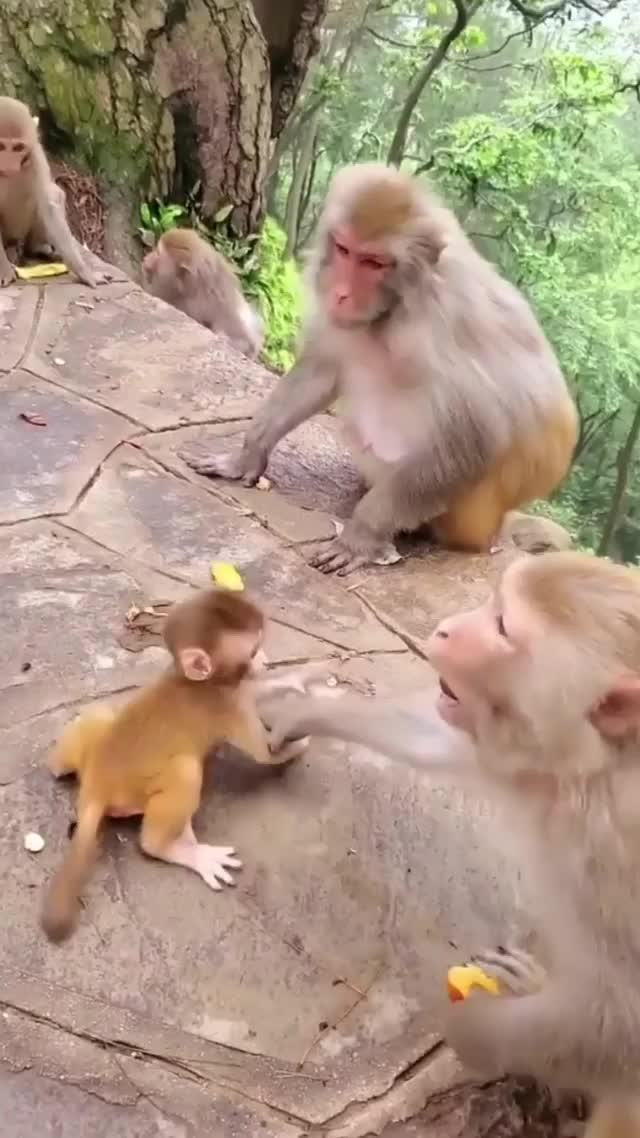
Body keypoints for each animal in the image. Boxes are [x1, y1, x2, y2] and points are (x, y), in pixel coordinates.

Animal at [0, 96, 105, 289]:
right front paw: (3, 270)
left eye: (18, 148)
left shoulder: (35, 155)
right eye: (1, 146)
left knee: (52, 196)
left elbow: (48, 204)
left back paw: (37, 248)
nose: (9, 165)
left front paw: (85, 272)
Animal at [40, 587, 312, 944]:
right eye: (252, 652)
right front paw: (299, 742)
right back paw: (180, 850)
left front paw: (291, 682)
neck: (195, 680)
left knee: (96, 718)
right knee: (185, 773)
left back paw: (58, 761)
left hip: (90, 745)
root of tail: (96, 787)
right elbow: (265, 752)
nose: (265, 661)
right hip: (135, 795)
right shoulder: (229, 704)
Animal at [185, 163, 577, 576]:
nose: (341, 293)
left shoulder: (442, 325)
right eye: (344, 249)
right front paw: (246, 456)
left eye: (373, 262)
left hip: (474, 513)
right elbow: (323, 368)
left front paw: (360, 535)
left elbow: (475, 438)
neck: (393, 309)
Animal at [265, 551, 640, 1136]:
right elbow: (440, 740)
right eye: (494, 604)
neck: (595, 768)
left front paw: (472, 1031)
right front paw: (301, 712)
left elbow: (625, 1029)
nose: (444, 629)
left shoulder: (619, 855)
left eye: (503, 627)